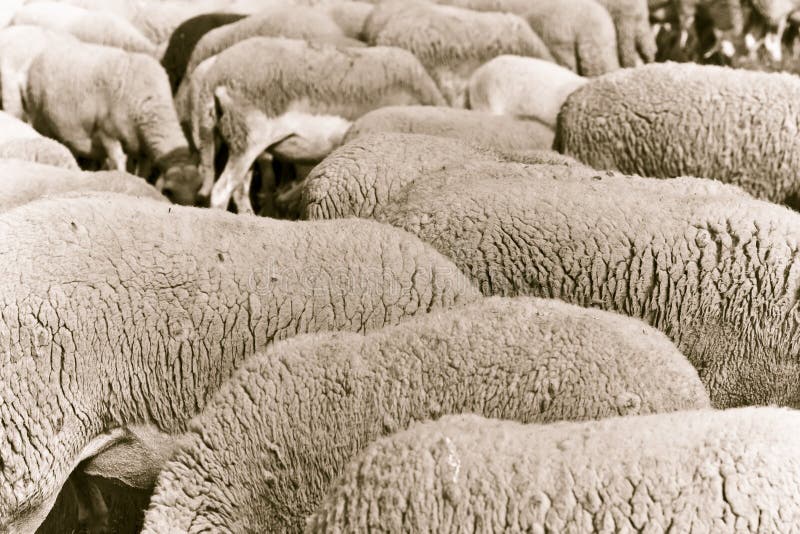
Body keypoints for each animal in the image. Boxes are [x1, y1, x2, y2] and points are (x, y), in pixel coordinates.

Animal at [25, 39, 201, 205]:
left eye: (197, 188)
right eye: (168, 191)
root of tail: (43, 53)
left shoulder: (144, 151)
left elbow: (143, 173)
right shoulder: (108, 134)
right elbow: (119, 163)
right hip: (37, 115)